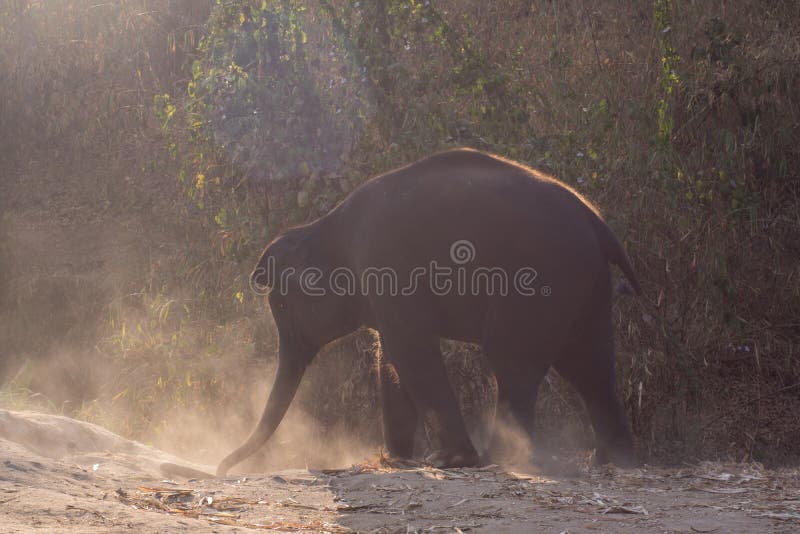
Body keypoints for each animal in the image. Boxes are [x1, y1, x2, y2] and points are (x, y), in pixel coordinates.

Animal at [216, 148, 640, 477]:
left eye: (281, 305)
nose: (221, 468)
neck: (323, 226)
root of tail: (597, 221)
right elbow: (391, 358)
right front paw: (395, 458)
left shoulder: (385, 265)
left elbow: (410, 351)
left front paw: (448, 460)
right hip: (586, 286)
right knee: (589, 364)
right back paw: (614, 460)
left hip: (541, 282)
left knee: (514, 359)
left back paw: (502, 458)